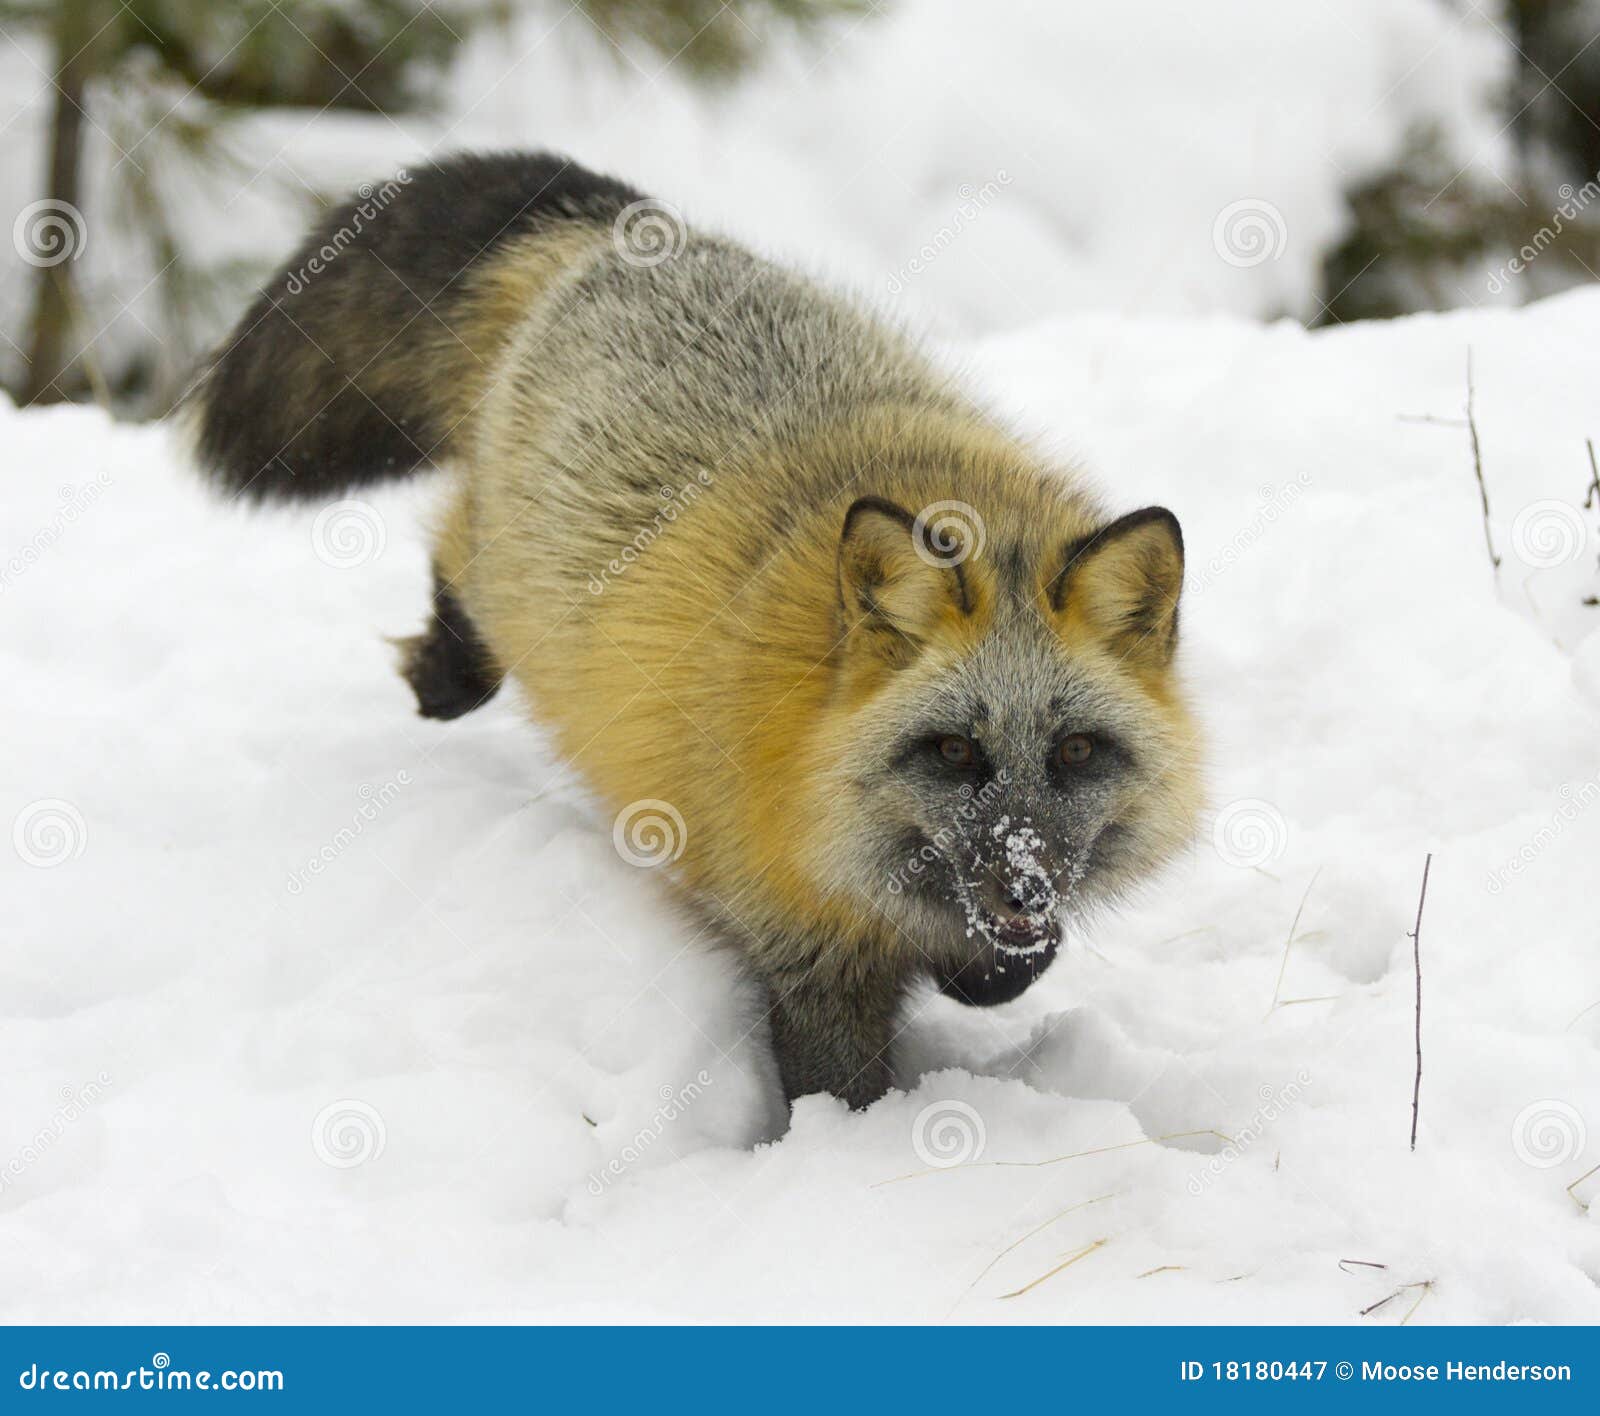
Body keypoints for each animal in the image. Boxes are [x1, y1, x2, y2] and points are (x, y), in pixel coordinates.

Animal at [189, 151, 1203, 1111]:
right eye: (954, 752)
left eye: (1076, 753)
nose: (1025, 886)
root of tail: (632, 234)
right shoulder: (799, 939)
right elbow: (839, 1087)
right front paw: (853, 1156)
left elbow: (1005, 967)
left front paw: (984, 972)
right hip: (511, 569)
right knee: (455, 548)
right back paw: (445, 672)